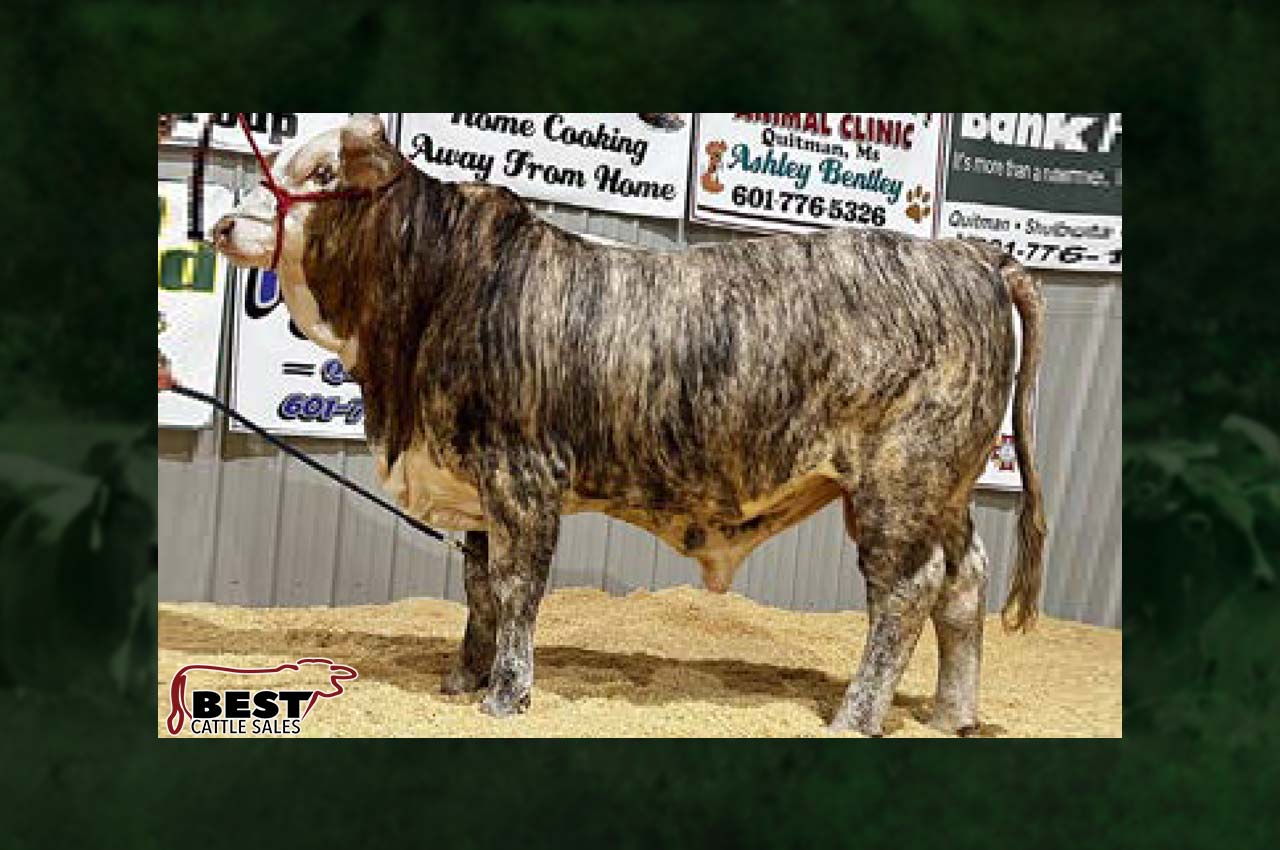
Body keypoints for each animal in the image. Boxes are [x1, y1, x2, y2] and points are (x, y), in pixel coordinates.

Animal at [211, 113, 1046, 736]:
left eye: (324, 173)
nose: (221, 224)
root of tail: (970, 253)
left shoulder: (522, 473)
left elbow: (516, 587)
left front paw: (505, 694)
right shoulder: (475, 481)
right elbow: (479, 588)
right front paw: (461, 678)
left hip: (898, 484)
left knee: (907, 590)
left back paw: (856, 716)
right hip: (945, 492)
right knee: (963, 582)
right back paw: (950, 715)